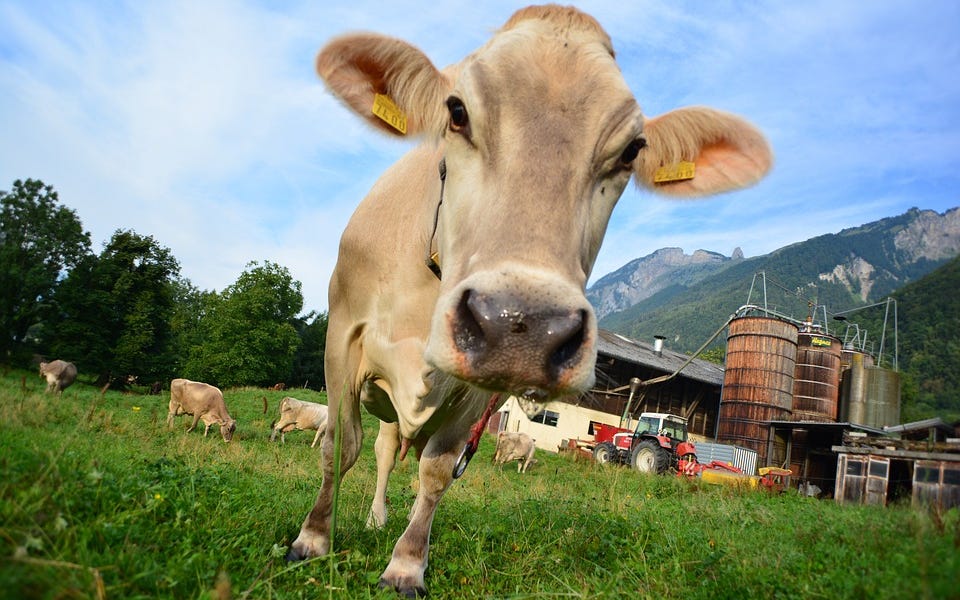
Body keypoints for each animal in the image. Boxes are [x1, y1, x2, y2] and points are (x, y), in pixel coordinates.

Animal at [287, 6, 772, 596]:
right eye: (456, 111)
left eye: (631, 149)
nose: (523, 325)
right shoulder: (342, 336)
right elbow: (340, 445)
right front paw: (312, 539)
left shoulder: (474, 388)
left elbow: (436, 470)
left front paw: (406, 565)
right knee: (379, 448)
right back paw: (375, 515)